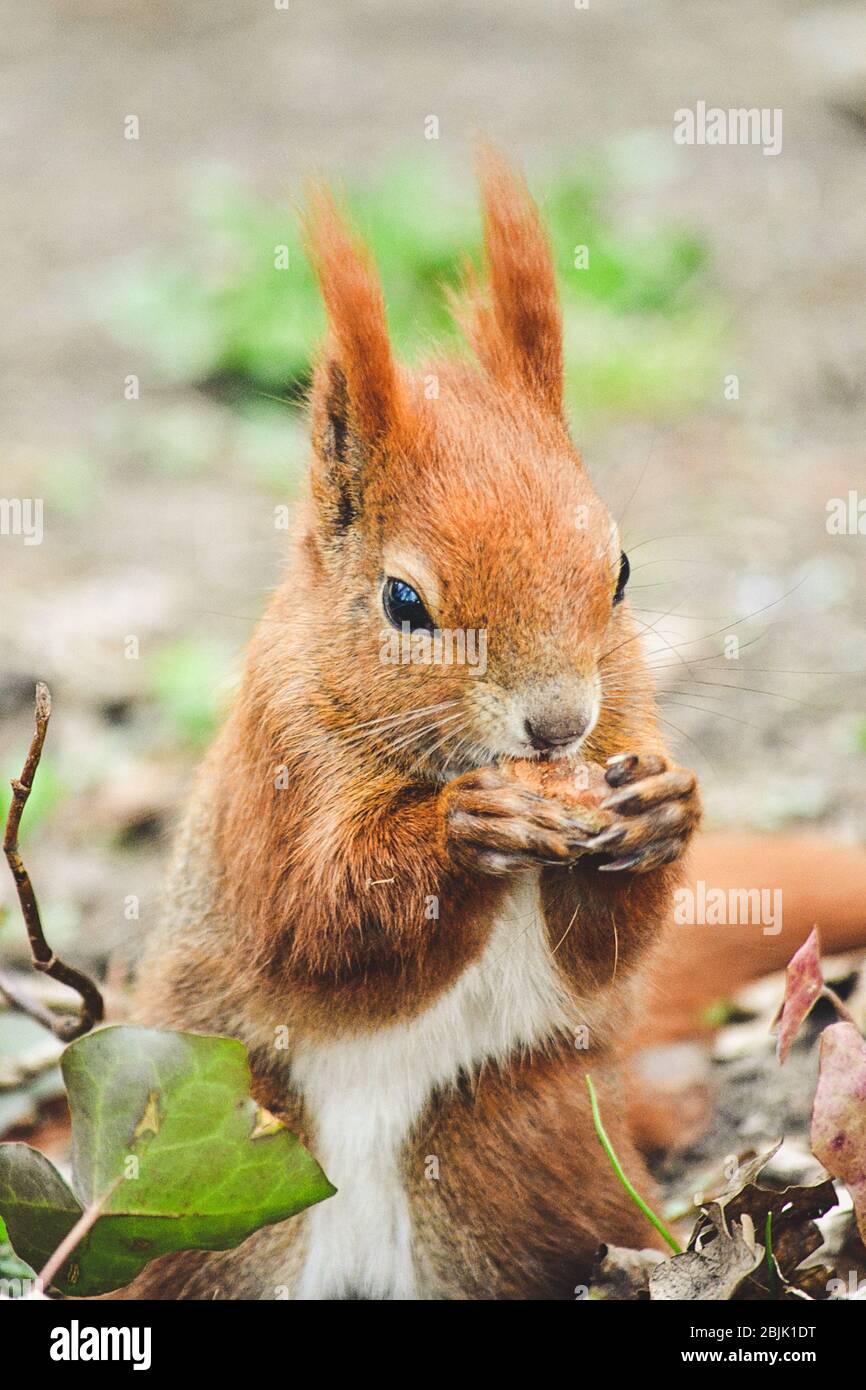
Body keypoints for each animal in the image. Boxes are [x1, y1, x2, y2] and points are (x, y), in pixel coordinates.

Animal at [126, 149, 866, 1301]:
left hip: (526, 1147)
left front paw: (664, 812)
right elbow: (312, 918)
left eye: (619, 570)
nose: (559, 725)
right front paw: (463, 831)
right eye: (401, 603)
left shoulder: (625, 720)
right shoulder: (272, 770)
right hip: (203, 1210)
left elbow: (603, 956)